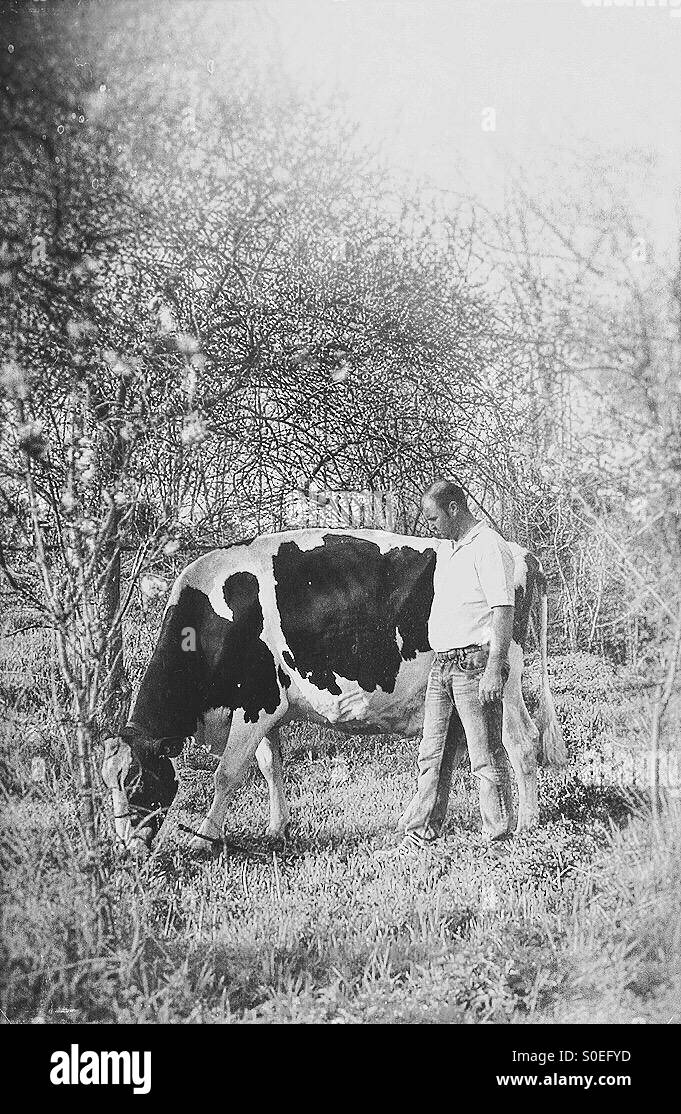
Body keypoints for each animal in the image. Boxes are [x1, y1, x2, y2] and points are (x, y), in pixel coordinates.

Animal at [102, 528, 565, 856]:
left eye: (137, 781)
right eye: (109, 784)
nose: (125, 850)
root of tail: (519, 553)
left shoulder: (255, 705)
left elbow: (227, 775)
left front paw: (205, 839)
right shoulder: (269, 706)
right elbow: (271, 765)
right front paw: (277, 828)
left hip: (502, 678)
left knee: (521, 741)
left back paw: (525, 824)